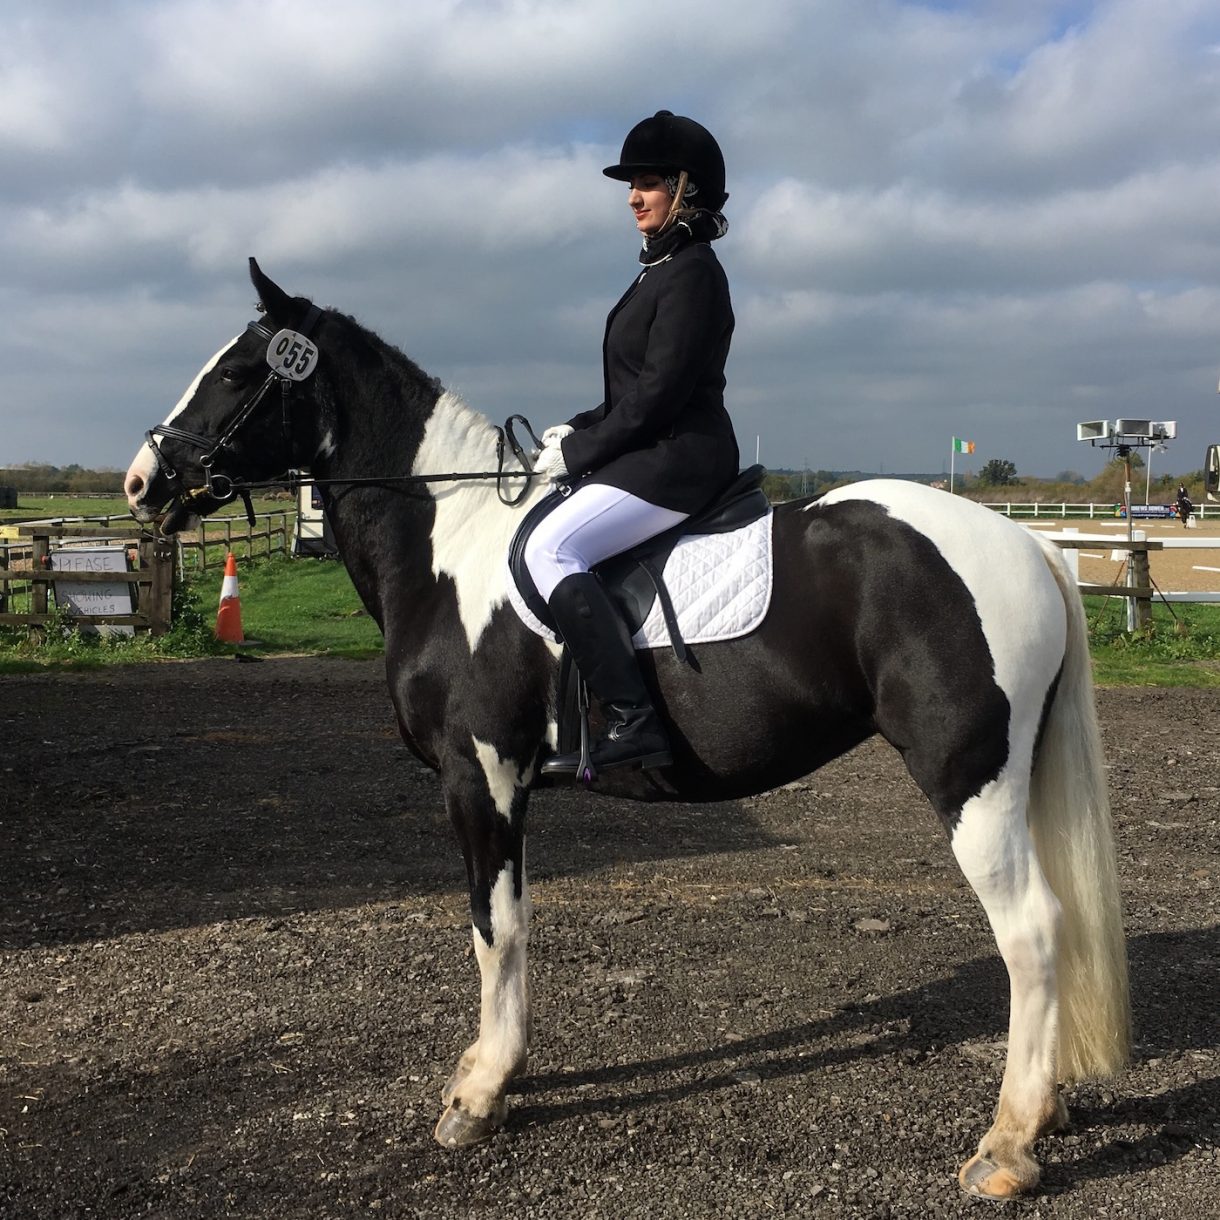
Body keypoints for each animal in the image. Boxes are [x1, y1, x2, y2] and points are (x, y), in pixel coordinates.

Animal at [124, 259, 1130, 1200]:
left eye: (237, 372)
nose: (143, 481)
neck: (451, 545)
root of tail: (1027, 544)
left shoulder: (479, 774)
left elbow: (494, 927)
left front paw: (482, 1095)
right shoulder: (505, 785)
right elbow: (513, 919)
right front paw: (488, 1070)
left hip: (970, 781)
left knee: (1032, 931)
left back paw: (1007, 1147)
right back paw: (1046, 1109)